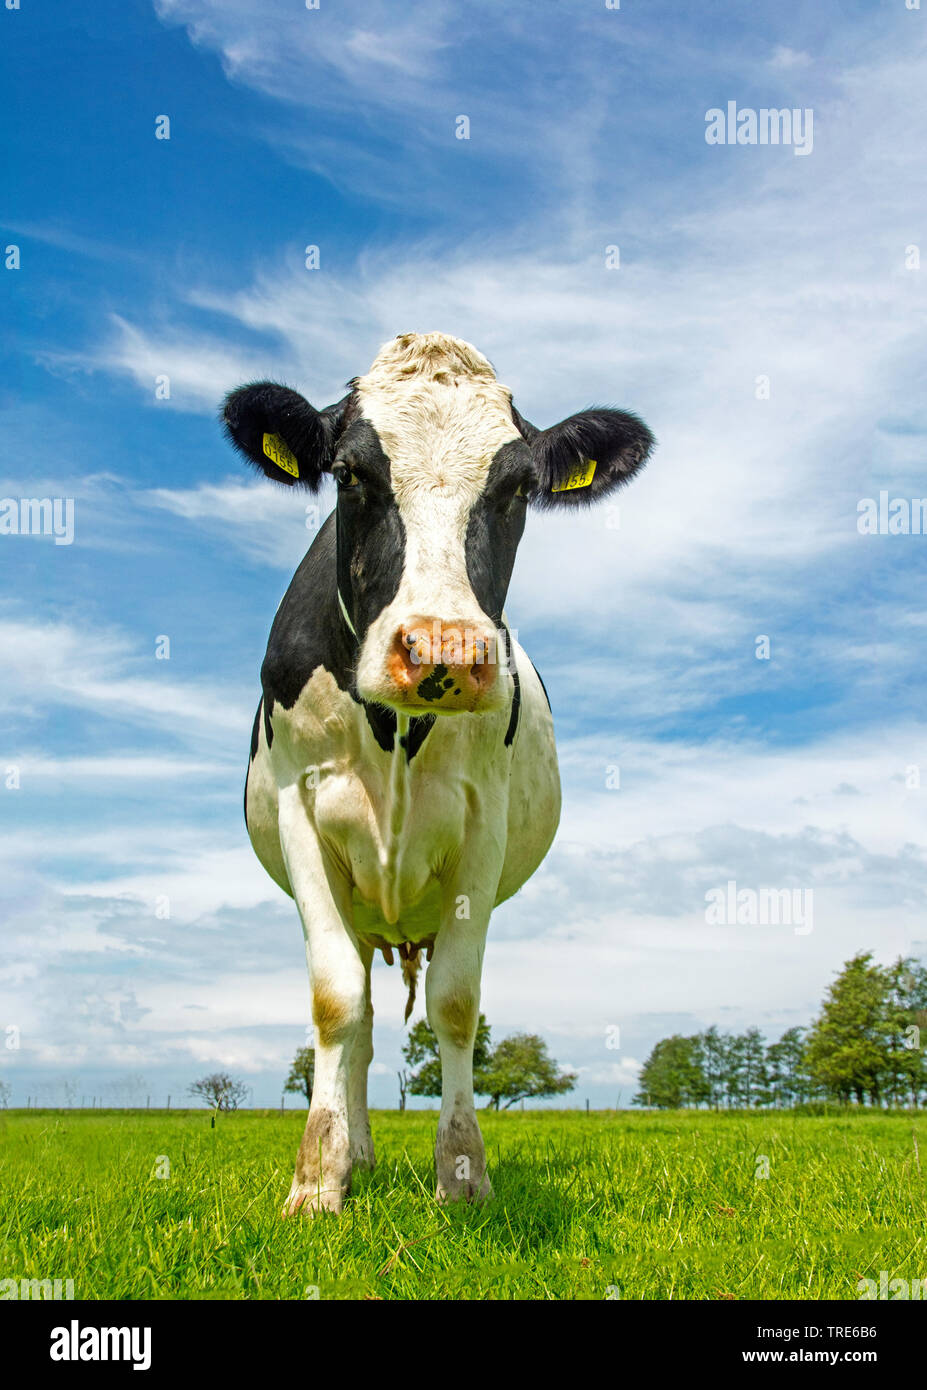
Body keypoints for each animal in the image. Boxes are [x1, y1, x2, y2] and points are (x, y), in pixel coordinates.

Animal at [220, 330, 655, 1212]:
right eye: (350, 473)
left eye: (518, 486)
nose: (442, 651)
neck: (396, 732)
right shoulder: (300, 810)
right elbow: (334, 1001)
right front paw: (316, 1182)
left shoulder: (482, 824)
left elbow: (457, 1005)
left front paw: (461, 1175)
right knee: (358, 1021)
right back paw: (356, 1155)